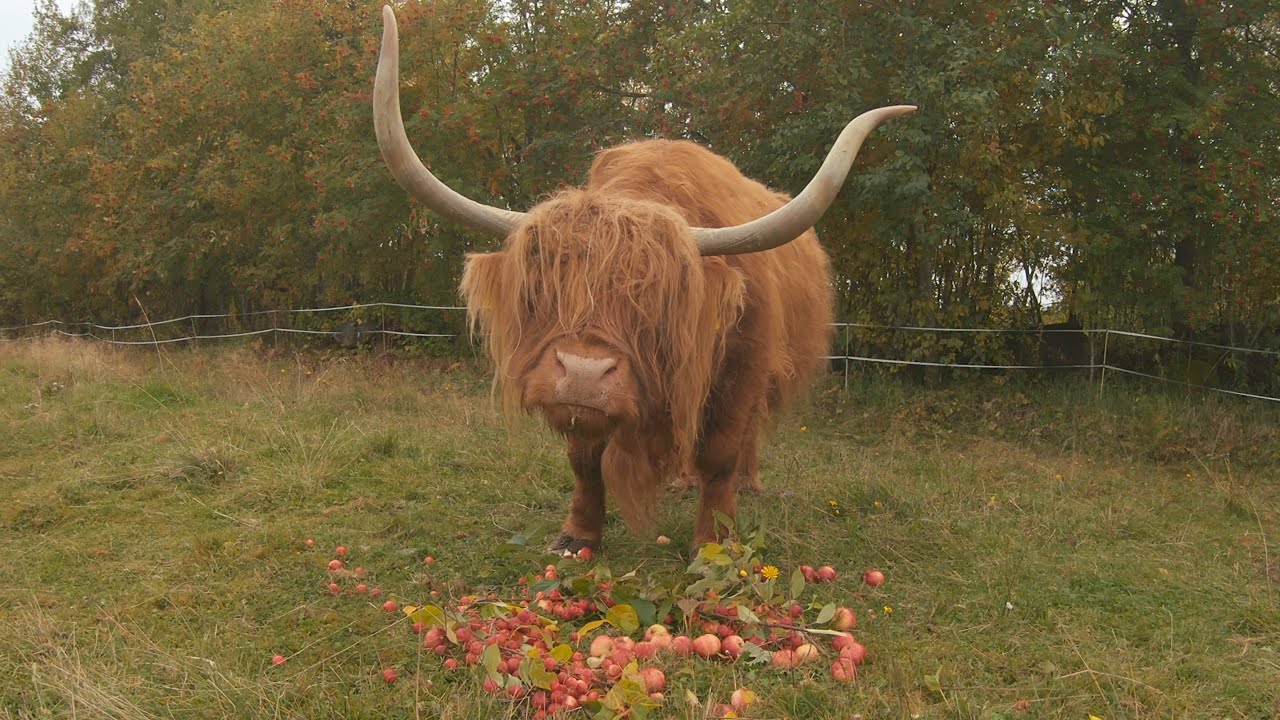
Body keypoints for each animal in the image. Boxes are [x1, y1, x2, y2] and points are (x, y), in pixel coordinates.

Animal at [372, 6, 913, 552]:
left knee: (744, 440)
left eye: (656, 303)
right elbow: (584, 460)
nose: (584, 373)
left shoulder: (742, 372)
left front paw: (714, 543)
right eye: (543, 288)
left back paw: (749, 482)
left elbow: (721, 454)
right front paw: (577, 535)